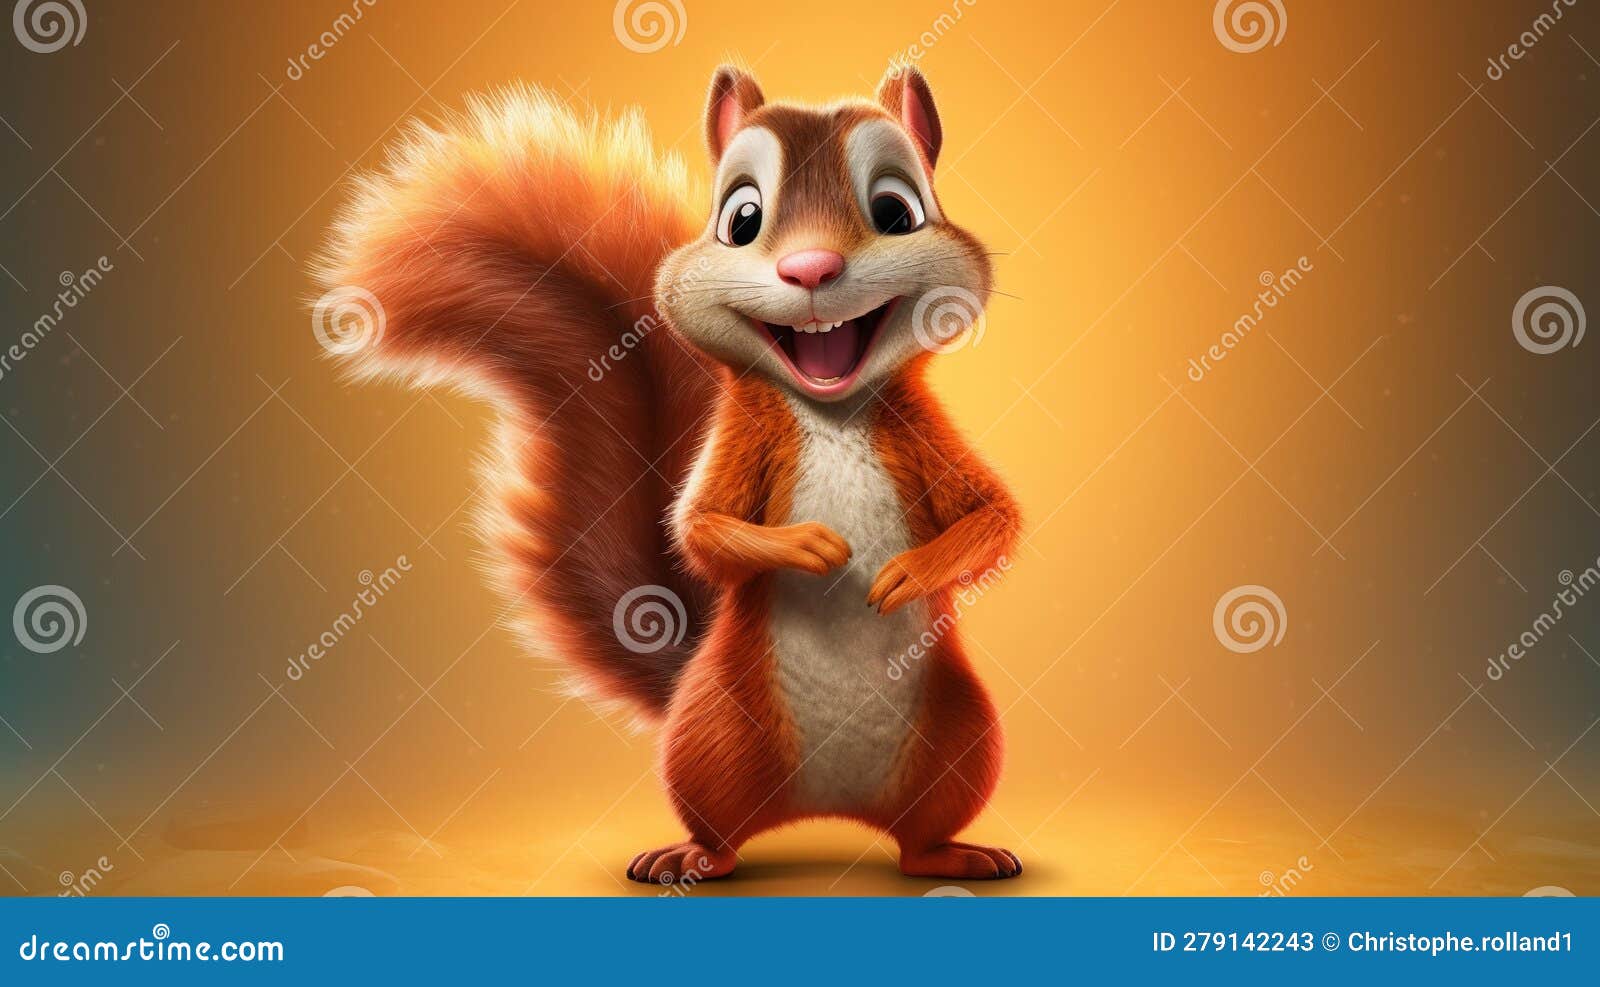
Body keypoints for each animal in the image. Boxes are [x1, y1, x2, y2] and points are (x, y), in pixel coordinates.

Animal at [316, 63, 1022, 883]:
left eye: (896, 211)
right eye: (741, 219)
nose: (810, 267)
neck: (832, 411)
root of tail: (829, 807)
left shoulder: (922, 436)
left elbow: (991, 518)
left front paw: (910, 571)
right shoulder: (745, 441)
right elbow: (702, 529)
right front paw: (809, 547)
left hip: (964, 737)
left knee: (918, 840)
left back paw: (956, 854)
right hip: (711, 740)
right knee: (721, 826)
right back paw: (690, 857)